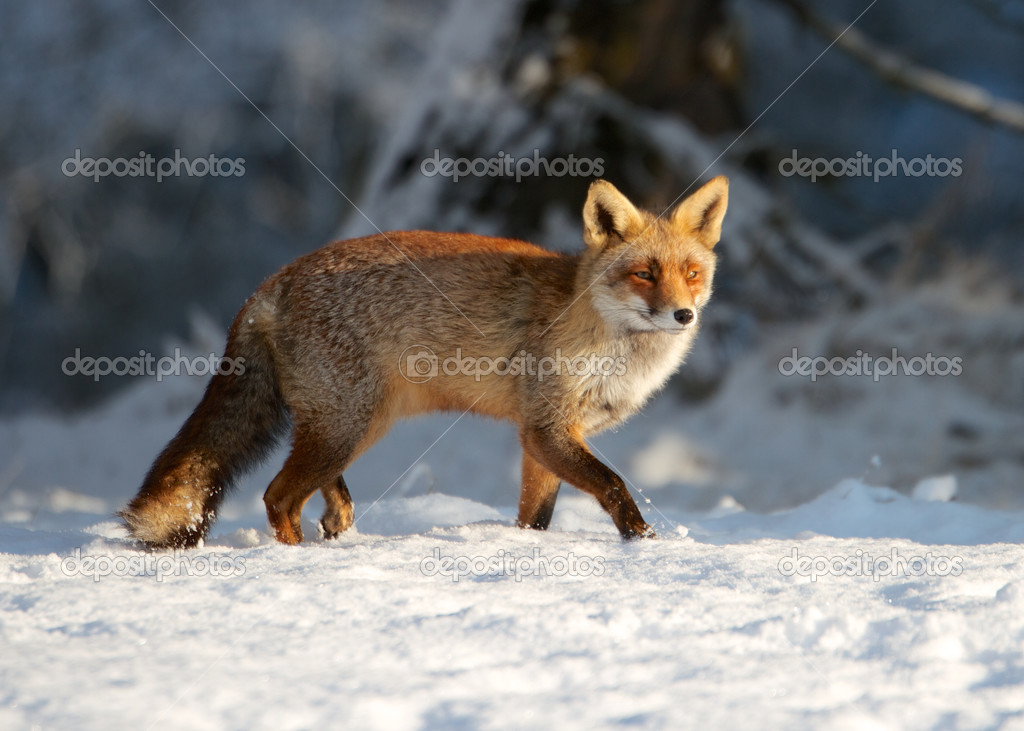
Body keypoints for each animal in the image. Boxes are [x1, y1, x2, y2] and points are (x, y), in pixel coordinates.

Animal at [119, 176, 729, 548]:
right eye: (644, 273)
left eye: (691, 273)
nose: (683, 315)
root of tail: (273, 280)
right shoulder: (547, 429)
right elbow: (615, 485)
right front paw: (643, 543)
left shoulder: (540, 441)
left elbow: (535, 518)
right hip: (348, 424)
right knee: (277, 496)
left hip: (354, 424)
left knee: (313, 489)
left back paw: (337, 525)